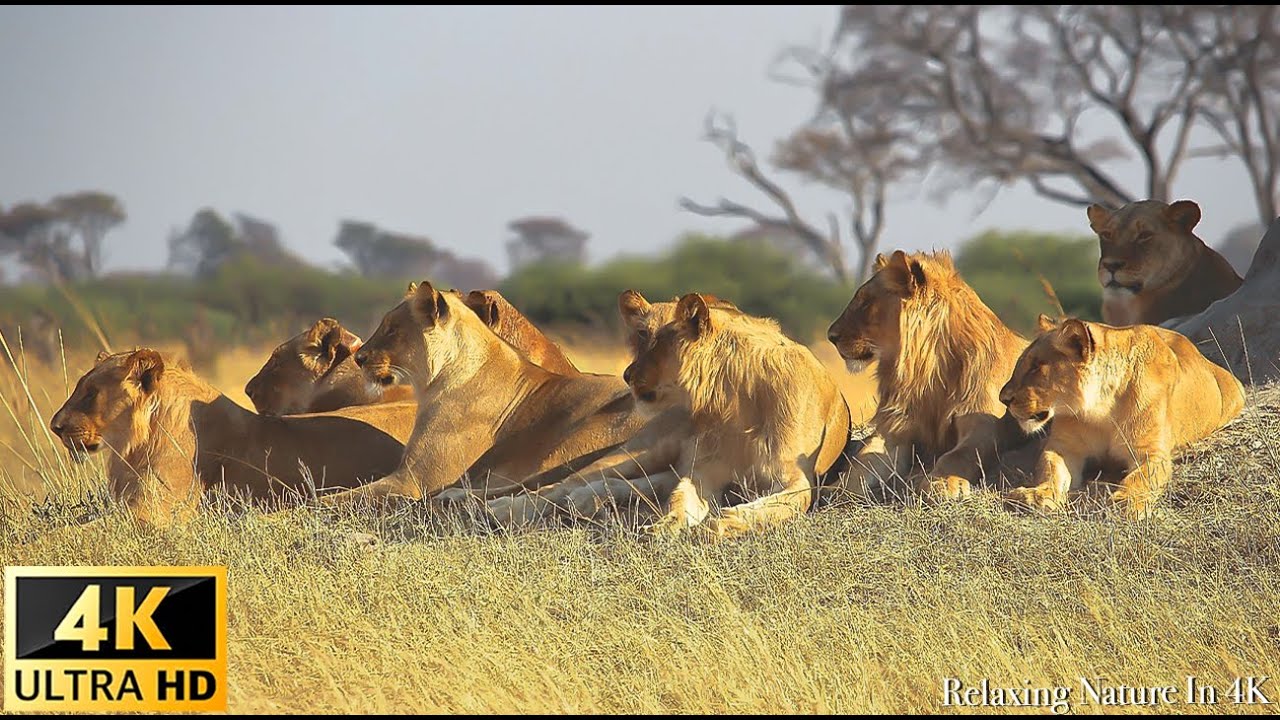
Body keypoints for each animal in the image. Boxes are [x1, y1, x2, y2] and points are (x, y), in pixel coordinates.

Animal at [615, 292, 850, 538]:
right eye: (642, 335)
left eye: (659, 342)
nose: (627, 375)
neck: (737, 401)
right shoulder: (706, 470)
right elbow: (680, 497)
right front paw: (664, 525)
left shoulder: (797, 477)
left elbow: (771, 507)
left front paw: (719, 524)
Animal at [826, 249, 1042, 499]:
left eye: (866, 302)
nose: (831, 336)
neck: (928, 373)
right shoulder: (895, 429)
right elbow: (862, 461)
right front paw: (834, 488)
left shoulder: (985, 427)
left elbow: (958, 455)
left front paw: (942, 483)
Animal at [1000, 316, 1245, 518]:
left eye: (1035, 367)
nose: (1003, 398)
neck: (1101, 410)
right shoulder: (1063, 446)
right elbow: (1050, 469)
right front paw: (1036, 495)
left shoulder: (1151, 452)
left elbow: (1140, 478)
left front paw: (1126, 502)